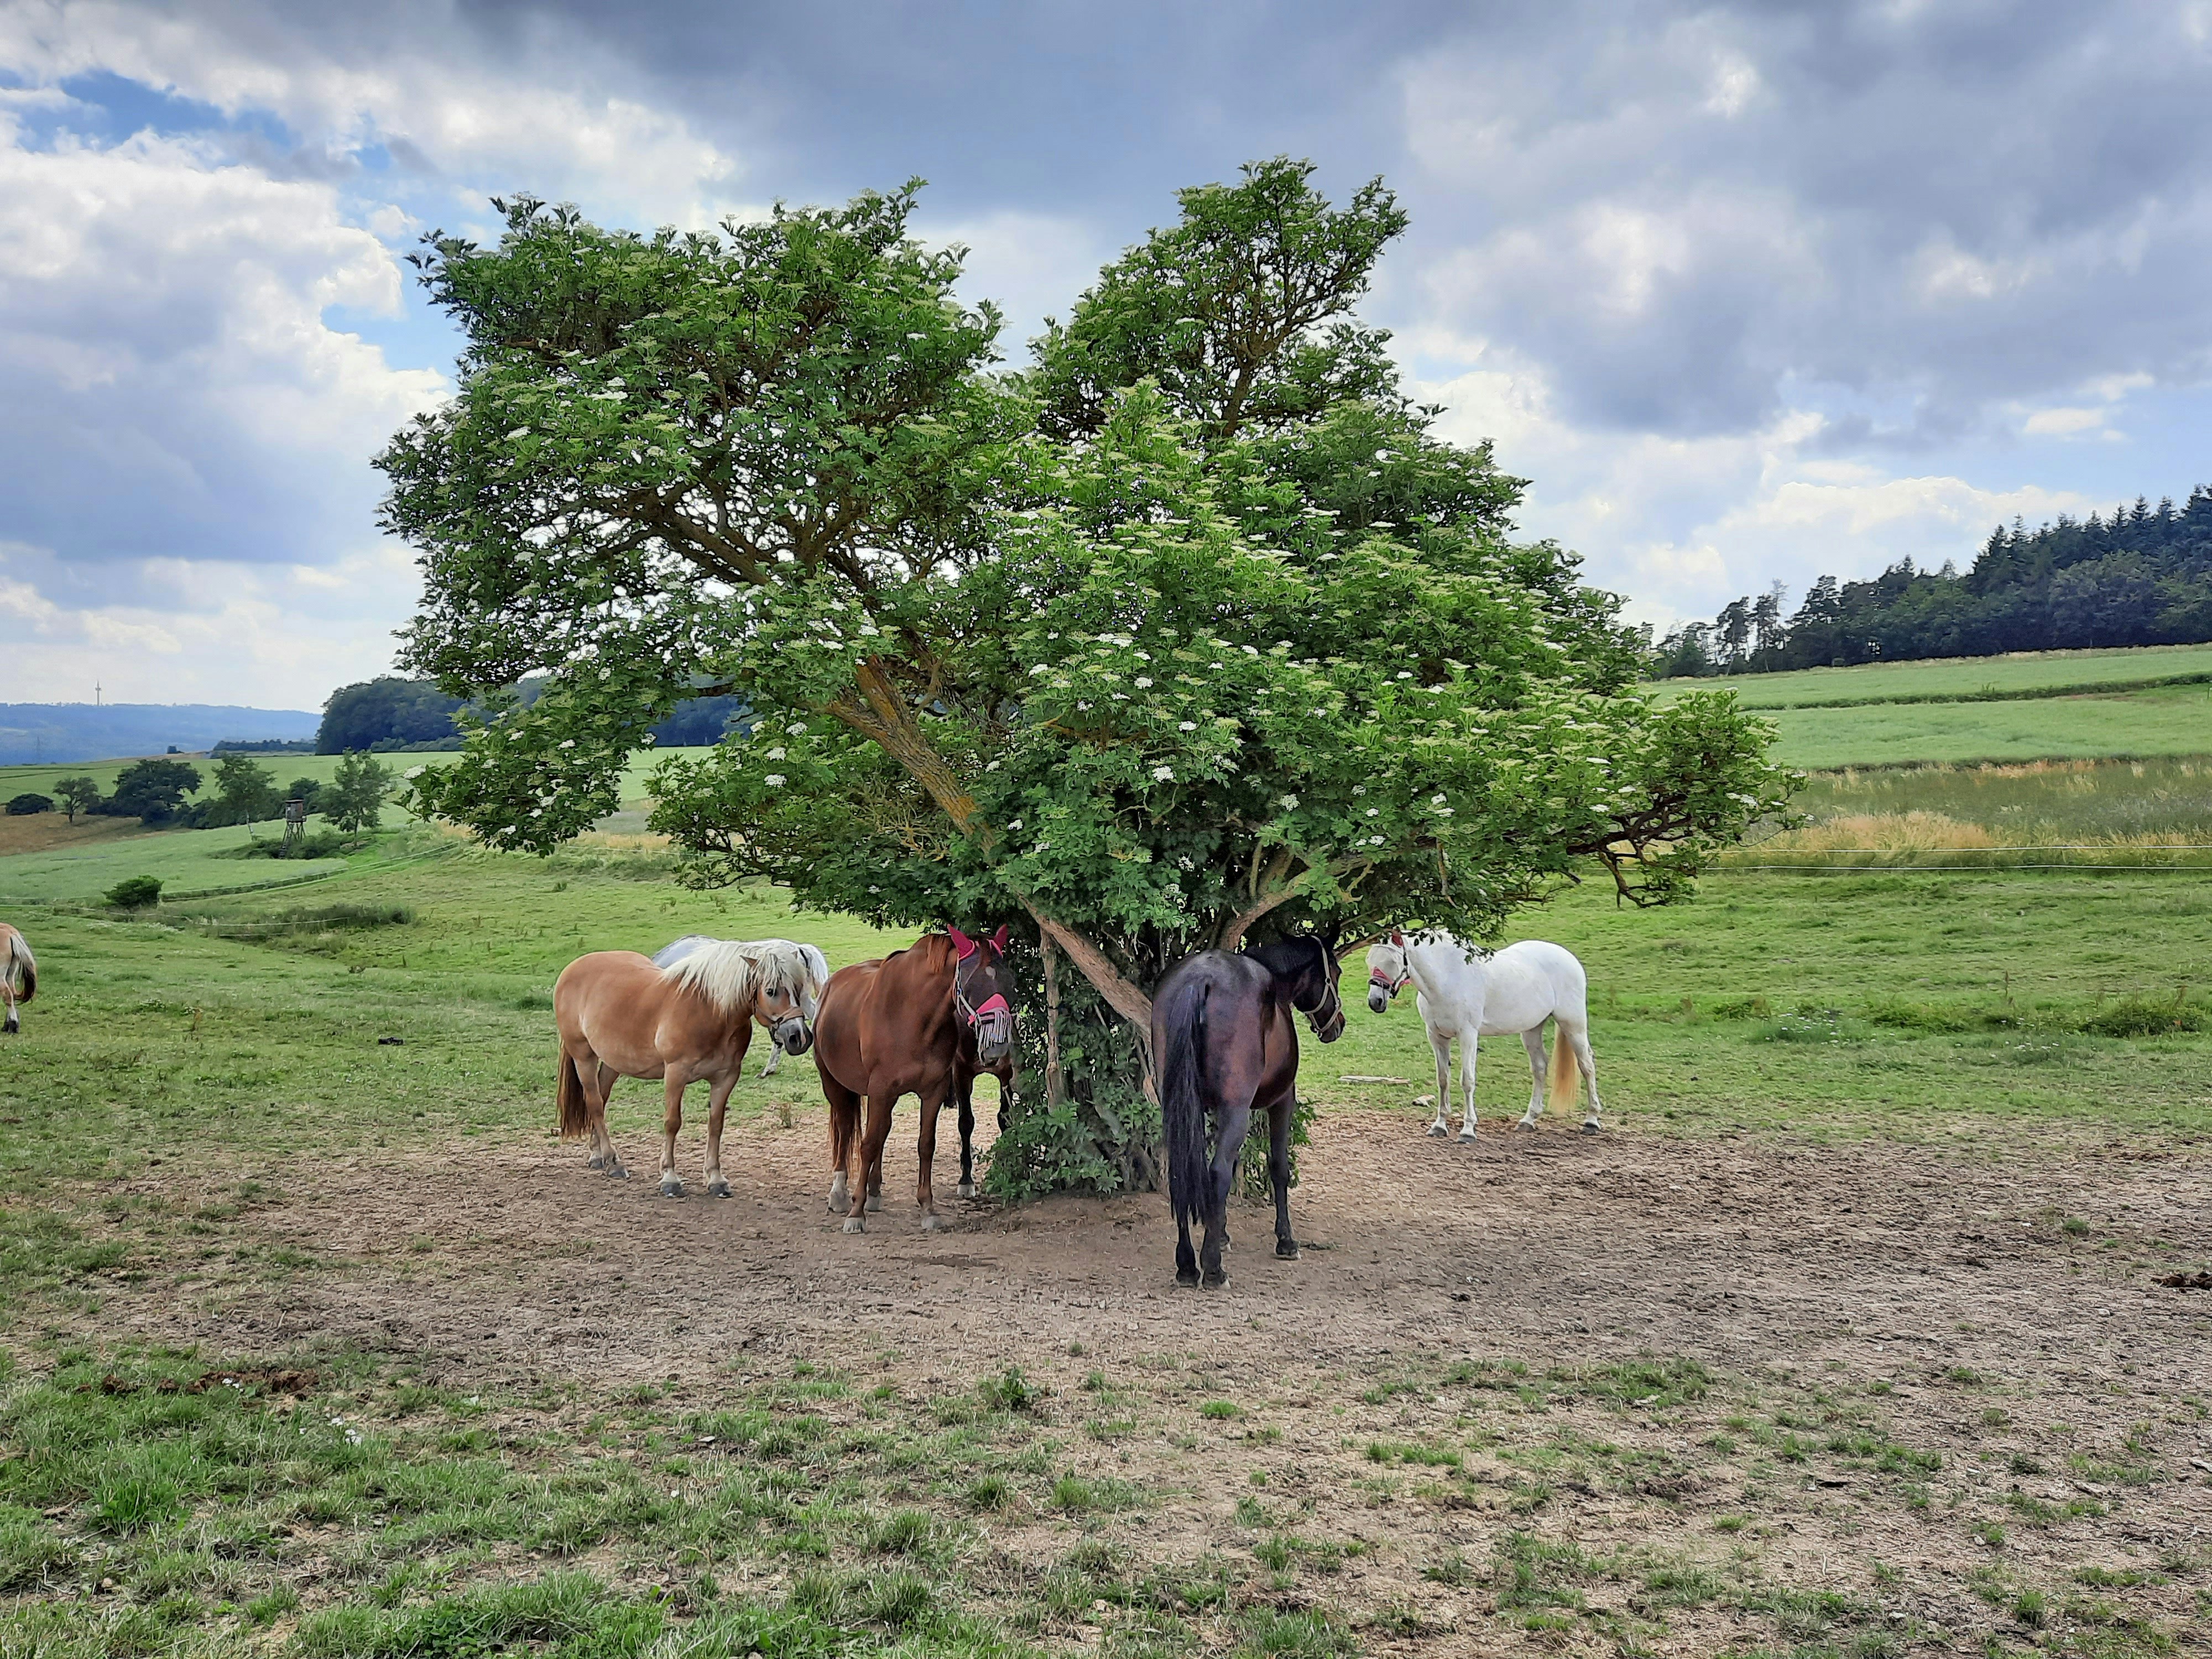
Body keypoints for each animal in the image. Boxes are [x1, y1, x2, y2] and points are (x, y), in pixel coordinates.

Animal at [814, 925, 1014, 1234]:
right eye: (973, 984)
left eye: (1009, 981)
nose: (998, 1047)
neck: (913, 1017)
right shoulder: (880, 1090)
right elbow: (868, 1145)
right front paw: (856, 1214)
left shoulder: (932, 1091)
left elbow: (925, 1144)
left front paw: (928, 1209)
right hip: (835, 1085)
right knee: (846, 1129)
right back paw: (839, 1193)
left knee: (882, 1131)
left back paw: (874, 1191)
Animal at [1155, 934, 1345, 1288]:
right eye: (1336, 972)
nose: (1338, 1024)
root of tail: (1199, 980)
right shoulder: (1282, 1100)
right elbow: (1278, 1167)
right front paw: (1286, 1241)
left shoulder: (1217, 1110)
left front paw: (1221, 1233)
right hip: (1239, 1111)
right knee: (1217, 1171)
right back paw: (1213, 1269)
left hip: (1183, 1109)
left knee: (1182, 1172)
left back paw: (1187, 1265)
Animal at [1364, 930, 1602, 1139]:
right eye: (1370, 960)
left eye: (1392, 961)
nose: (1376, 1001)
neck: (1448, 978)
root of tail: (1568, 957)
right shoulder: (1436, 1036)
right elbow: (1443, 1079)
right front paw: (1439, 1126)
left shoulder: (1468, 1035)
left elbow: (1467, 1081)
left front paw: (1468, 1131)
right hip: (1532, 1029)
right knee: (1540, 1067)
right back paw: (1528, 1120)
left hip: (1573, 1024)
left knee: (1587, 1065)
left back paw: (1591, 1121)